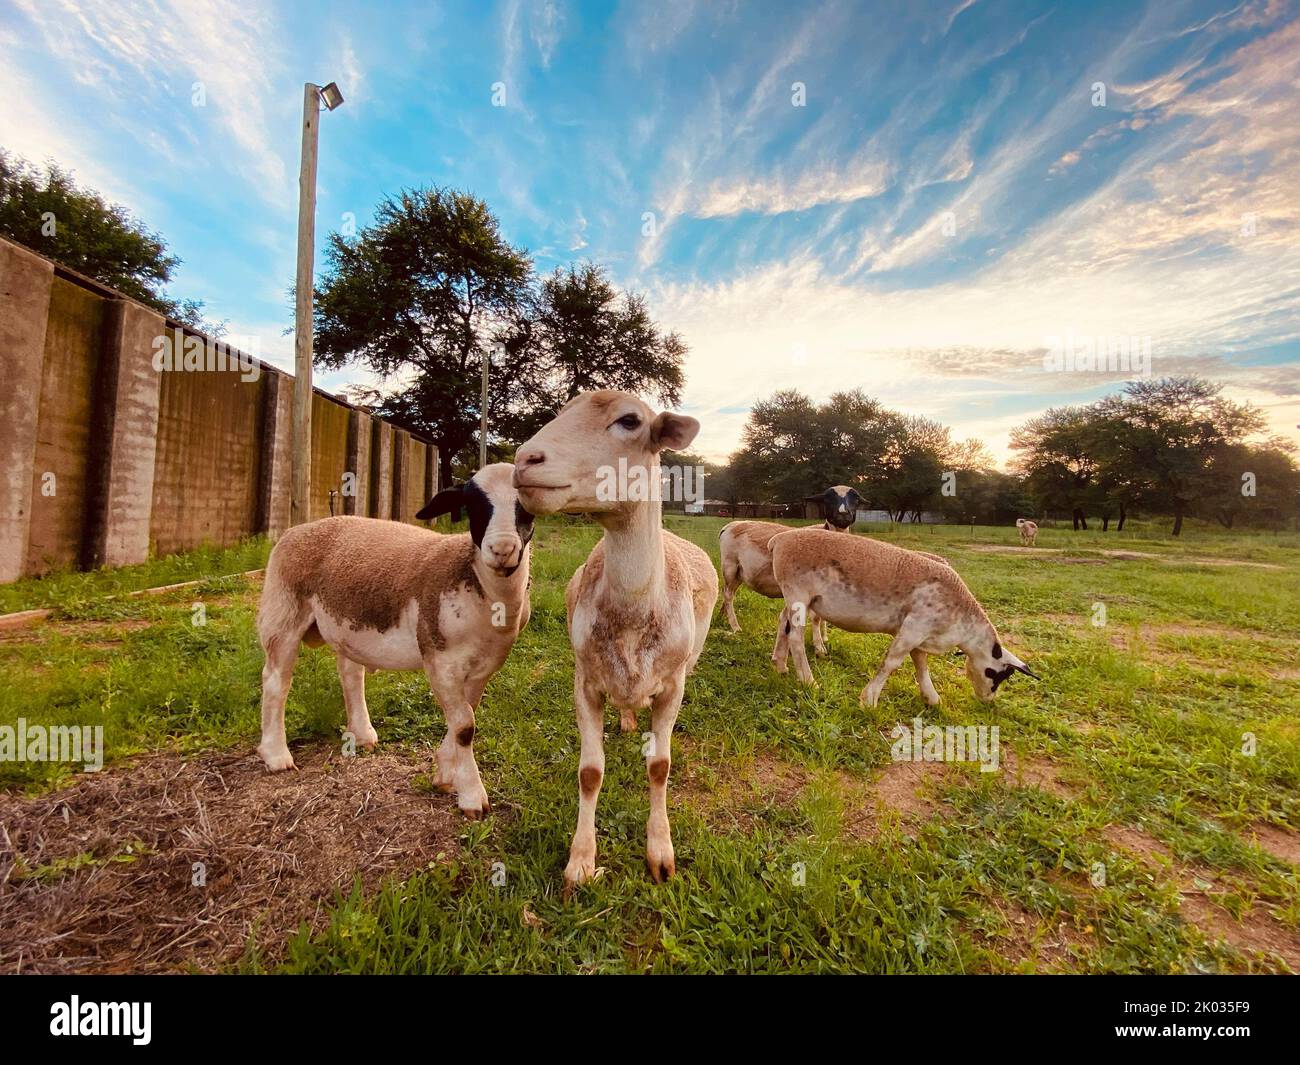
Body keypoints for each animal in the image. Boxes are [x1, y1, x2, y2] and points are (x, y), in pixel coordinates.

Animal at [255, 463, 533, 818]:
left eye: (526, 506)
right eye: (474, 505)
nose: (502, 550)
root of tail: (296, 530)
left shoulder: (484, 666)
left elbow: (465, 718)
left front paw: (445, 775)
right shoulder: (439, 659)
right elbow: (464, 726)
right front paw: (472, 796)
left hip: (347, 623)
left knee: (350, 674)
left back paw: (362, 734)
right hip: (283, 611)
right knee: (276, 681)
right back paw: (276, 754)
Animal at [513, 390, 717, 888]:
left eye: (629, 421)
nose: (524, 459)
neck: (632, 616)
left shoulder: (673, 685)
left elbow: (661, 766)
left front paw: (661, 854)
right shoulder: (585, 681)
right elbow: (589, 772)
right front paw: (580, 862)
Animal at [769, 527, 1037, 706]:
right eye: (999, 675)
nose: (988, 699)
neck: (963, 623)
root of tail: (780, 539)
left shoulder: (920, 634)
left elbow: (921, 665)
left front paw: (932, 698)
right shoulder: (915, 627)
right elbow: (892, 662)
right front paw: (869, 699)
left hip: (796, 597)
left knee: (783, 624)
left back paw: (780, 666)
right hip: (798, 593)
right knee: (795, 638)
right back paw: (808, 681)